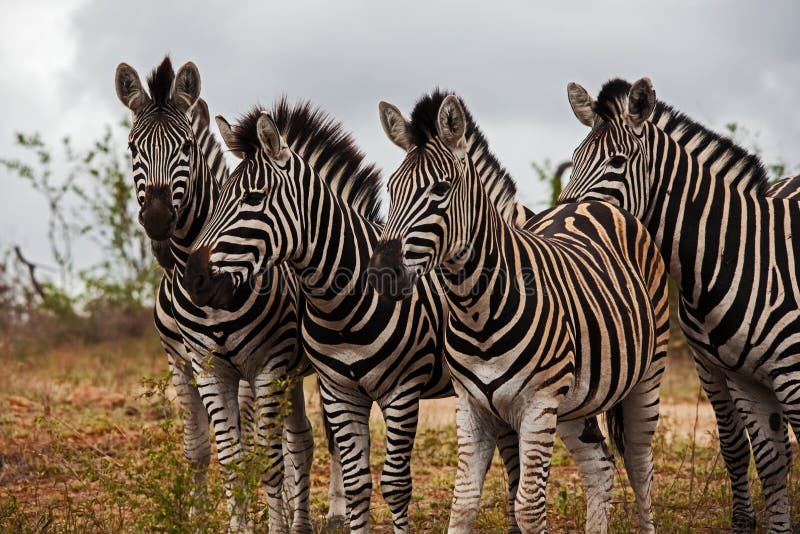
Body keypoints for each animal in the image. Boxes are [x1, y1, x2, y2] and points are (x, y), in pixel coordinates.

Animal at [114, 57, 343, 533]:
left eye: (186, 147)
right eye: (131, 147)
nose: (158, 219)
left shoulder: (265, 364)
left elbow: (264, 459)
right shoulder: (194, 363)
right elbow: (215, 454)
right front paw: (206, 518)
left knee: (320, 440)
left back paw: (333, 513)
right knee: (300, 439)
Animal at [368, 91, 670, 533]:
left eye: (441, 189)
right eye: (391, 189)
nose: (380, 273)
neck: (476, 312)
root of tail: (592, 203)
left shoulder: (538, 403)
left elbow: (528, 507)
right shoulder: (471, 406)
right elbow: (463, 502)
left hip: (647, 374)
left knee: (639, 464)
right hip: (575, 400)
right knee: (599, 468)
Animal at [562, 77, 800, 533]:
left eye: (617, 162)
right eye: (575, 158)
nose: (566, 214)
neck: (739, 252)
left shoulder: (793, 373)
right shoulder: (737, 373)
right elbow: (767, 457)